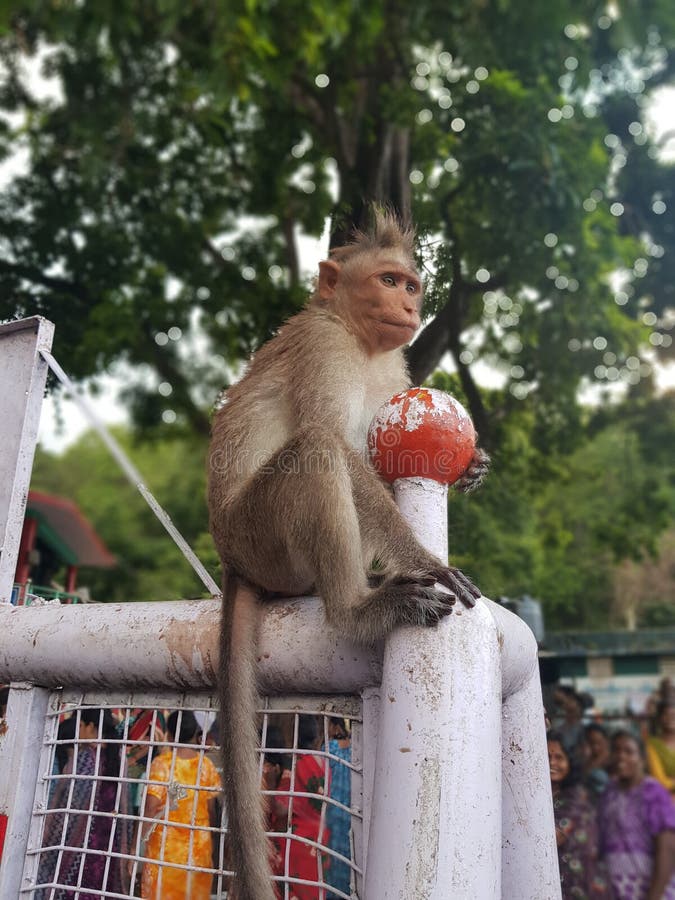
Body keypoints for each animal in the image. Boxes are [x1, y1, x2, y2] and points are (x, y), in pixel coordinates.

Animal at [208, 211, 489, 900]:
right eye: (388, 280)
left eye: (410, 284)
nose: (408, 303)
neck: (361, 343)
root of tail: (232, 558)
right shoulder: (323, 347)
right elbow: (338, 444)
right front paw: (428, 560)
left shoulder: (395, 370)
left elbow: (383, 463)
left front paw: (473, 467)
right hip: (260, 534)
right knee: (318, 451)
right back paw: (359, 607)